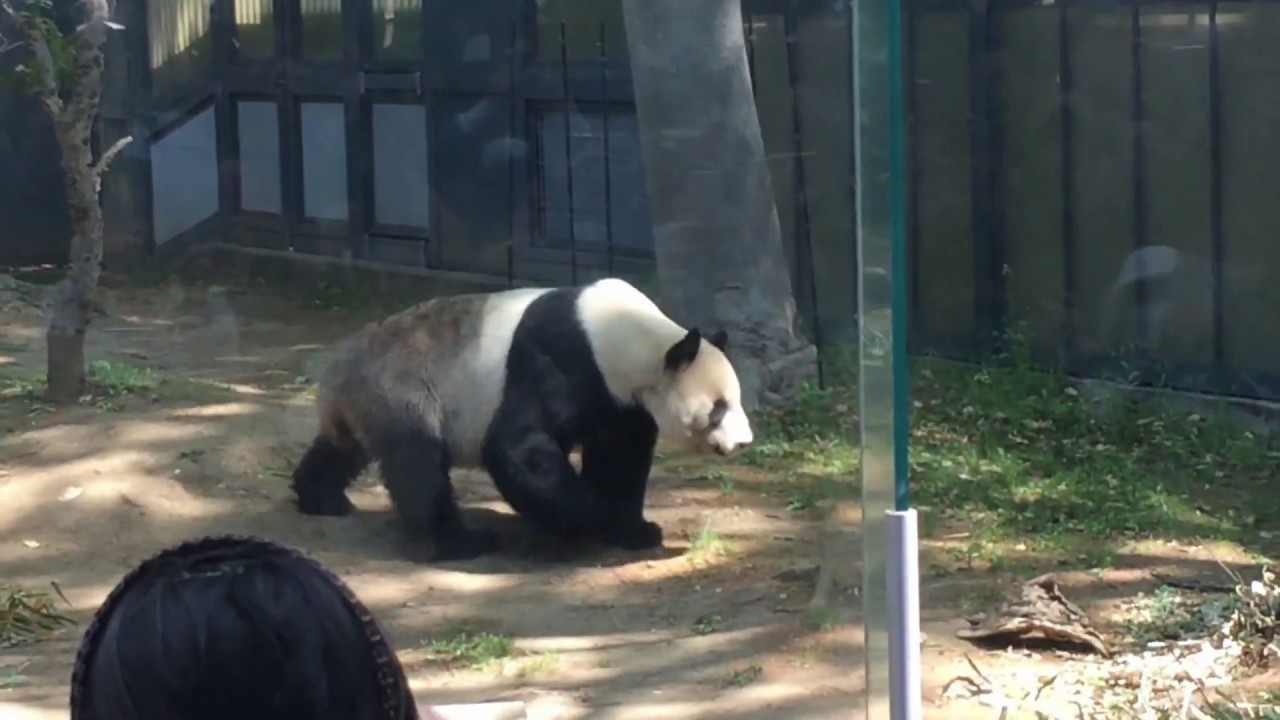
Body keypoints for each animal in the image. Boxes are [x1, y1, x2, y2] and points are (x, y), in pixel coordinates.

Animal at [290, 277, 754, 562]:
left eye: (735, 400)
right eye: (718, 408)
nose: (744, 442)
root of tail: (338, 373)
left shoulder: (618, 398)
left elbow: (620, 454)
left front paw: (635, 530)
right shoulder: (560, 357)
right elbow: (517, 444)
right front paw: (589, 516)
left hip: (369, 402)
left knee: (342, 447)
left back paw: (320, 497)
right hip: (406, 388)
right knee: (417, 463)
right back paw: (462, 540)